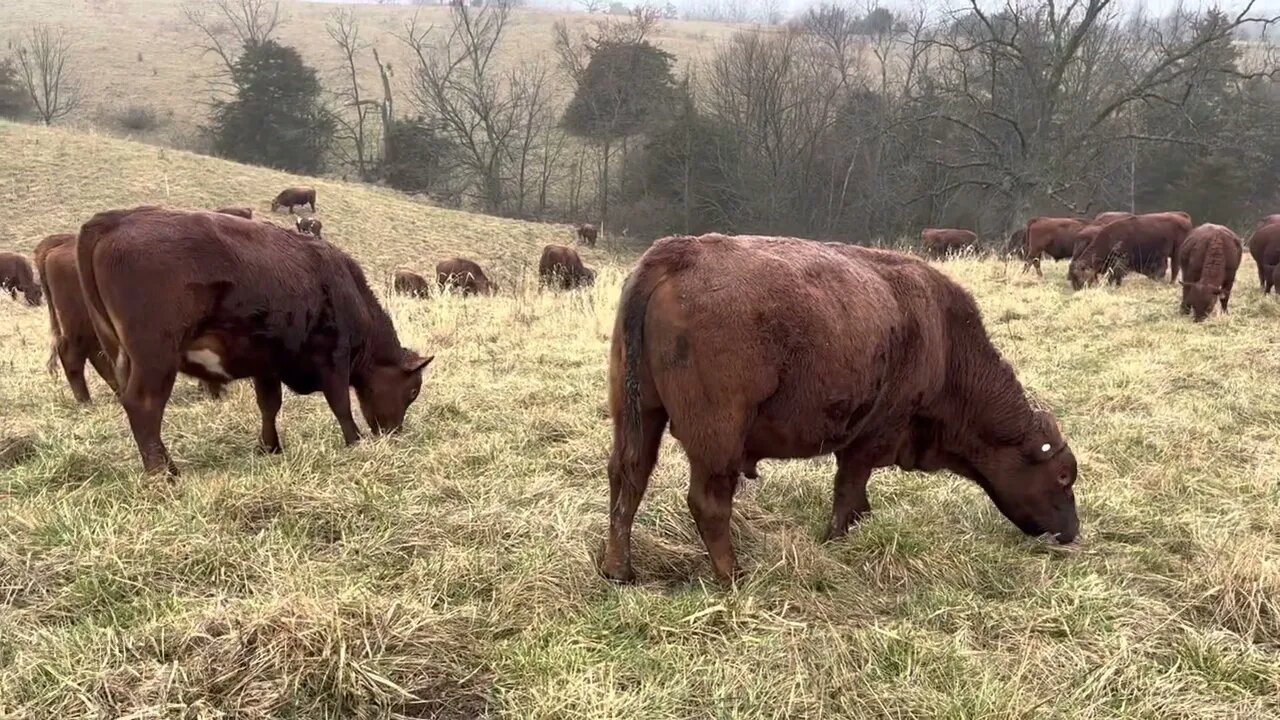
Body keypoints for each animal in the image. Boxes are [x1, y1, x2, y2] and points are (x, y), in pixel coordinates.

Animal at [76, 207, 432, 476]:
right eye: (413, 391)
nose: (394, 433)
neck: (347, 291)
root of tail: (116, 220)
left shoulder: (267, 365)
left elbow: (269, 405)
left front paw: (269, 447)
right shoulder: (333, 358)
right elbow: (340, 404)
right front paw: (355, 441)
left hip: (122, 355)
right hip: (155, 358)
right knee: (143, 405)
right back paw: (164, 473)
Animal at [600, 233, 1080, 584]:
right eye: (1062, 476)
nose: (1073, 532)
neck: (943, 343)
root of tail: (675, 254)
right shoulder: (870, 439)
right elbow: (848, 491)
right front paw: (835, 539)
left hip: (638, 415)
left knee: (628, 478)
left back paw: (619, 570)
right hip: (717, 438)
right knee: (708, 502)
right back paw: (732, 575)